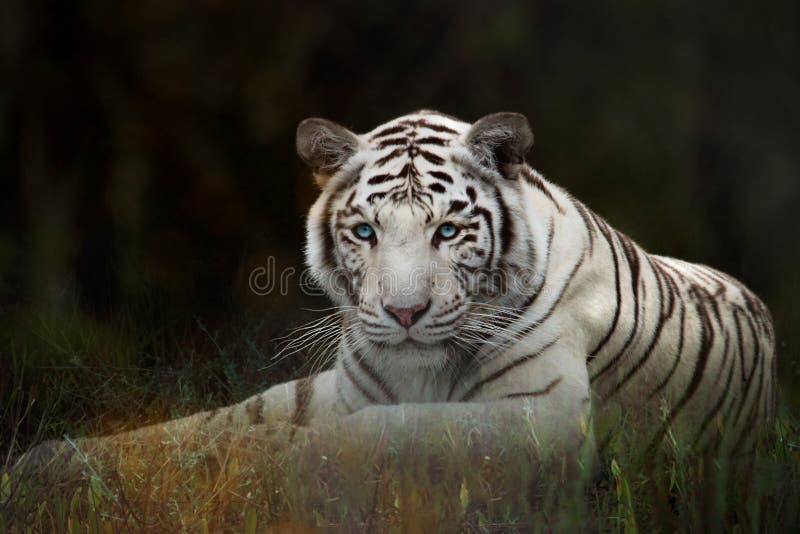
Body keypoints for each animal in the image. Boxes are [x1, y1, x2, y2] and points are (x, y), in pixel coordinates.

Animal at [13, 109, 775, 482]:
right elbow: (200, 426)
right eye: (364, 231)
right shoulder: (342, 388)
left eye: (448, 231)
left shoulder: (543, 417)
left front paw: (265, 463)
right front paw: (41, 467)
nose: (405, 313)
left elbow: (388, 433)